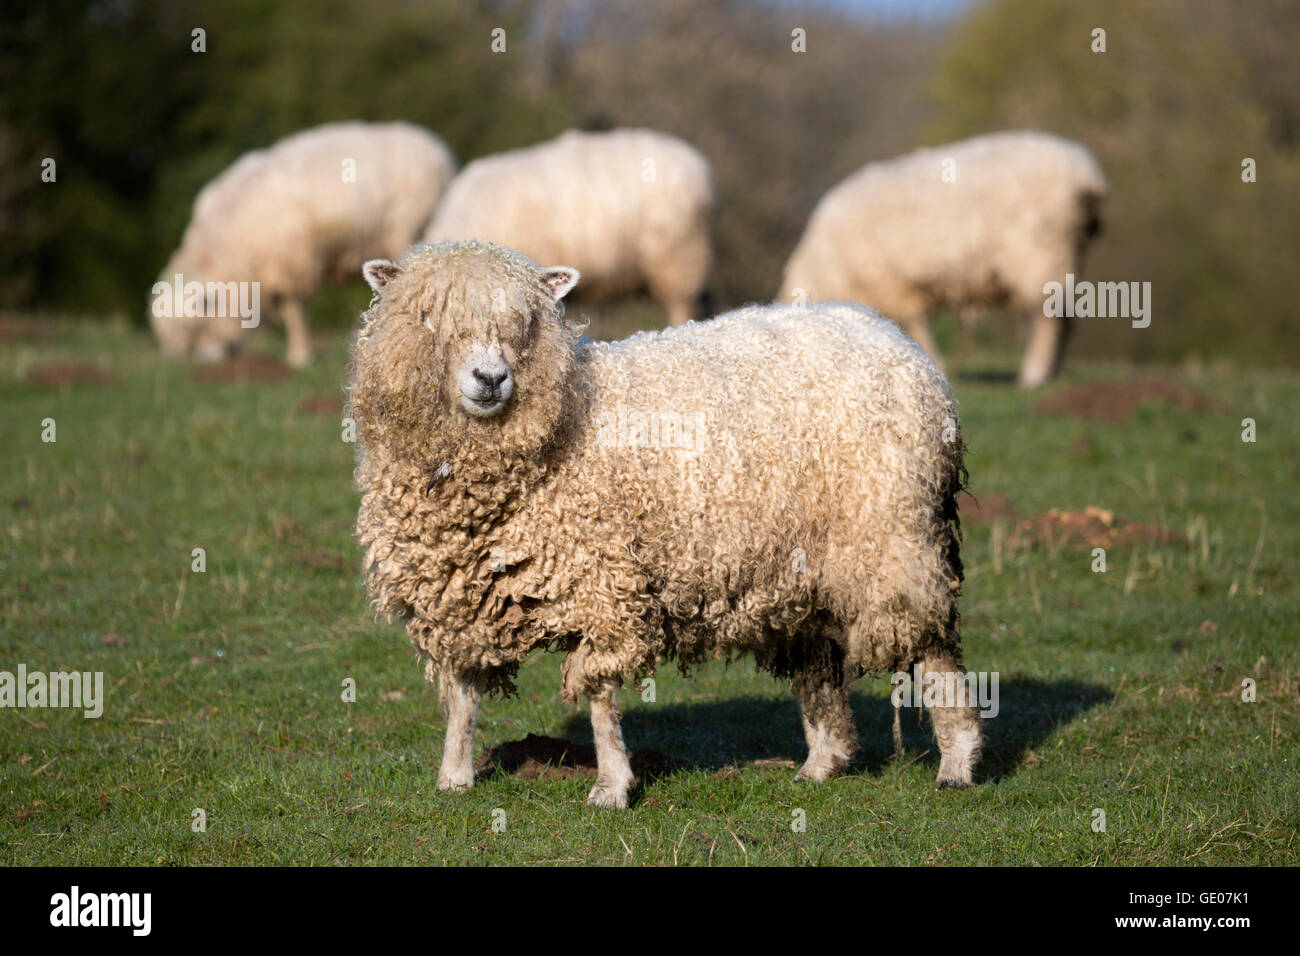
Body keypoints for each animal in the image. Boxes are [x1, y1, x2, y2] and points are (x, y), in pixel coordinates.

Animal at [152, 121, 456, 367]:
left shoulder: (291, 259)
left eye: (198, 327)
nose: (205, 361)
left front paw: (299, 356)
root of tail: (437, 148)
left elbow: (294, 311)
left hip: (408, 226)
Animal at [347, 239, 982, 808]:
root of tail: (895, 339)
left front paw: (610, 787)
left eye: (526, 325)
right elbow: (463, 693)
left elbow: (600, 694)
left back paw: (956, 763)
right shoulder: (458, 592)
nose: (490, 378)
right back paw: (822, 764)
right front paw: (454, 777)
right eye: (428, 319)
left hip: (893, 536)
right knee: (820, 663)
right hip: (804, 563)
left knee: (934, 645)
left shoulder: (600, 578)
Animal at [778, 131, 1108, 387]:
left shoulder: (891, 283)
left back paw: (1034, 375)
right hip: (1067, 252)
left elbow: (915, 326)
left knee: (1047, 317)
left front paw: (933, 362)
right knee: (1066, 314)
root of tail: (1085, 174)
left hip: (1039, 251)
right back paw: (1053, 372)